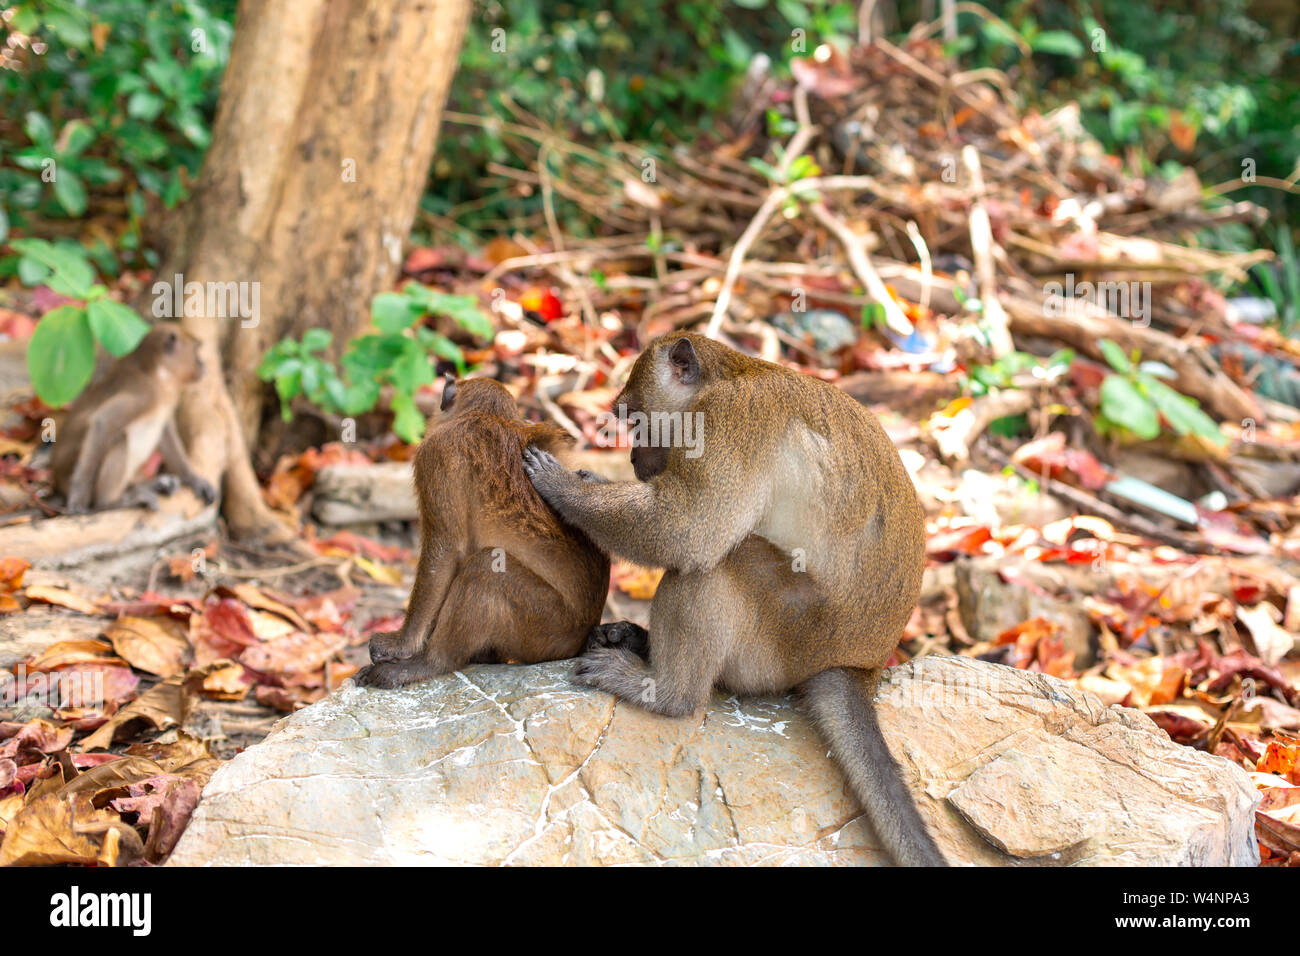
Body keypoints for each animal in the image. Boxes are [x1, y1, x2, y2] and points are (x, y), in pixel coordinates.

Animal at [50, 321, 217, 513]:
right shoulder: (145, 394)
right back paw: (110, 503)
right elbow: (103, 423)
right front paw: (79, 501)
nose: (203, 365)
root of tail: (56, 475)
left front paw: (192, 478)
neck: (158, 374)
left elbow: (164, 431)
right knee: (120, 439)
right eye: (196, 352)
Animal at [355, 377, 610, 688]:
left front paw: (401, 645)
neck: (489, 416)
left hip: (549, 627)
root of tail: (581, 637)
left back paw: (431, 663)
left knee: (486, 567)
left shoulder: (437, 452)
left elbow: (445, 549)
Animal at [521, 331, 945, 866]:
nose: (634, 461)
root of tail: (861, 665)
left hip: (788, 637)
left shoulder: (729, 424)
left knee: (718, 564)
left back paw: (667, 693)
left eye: (635, 419)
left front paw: (562, 488)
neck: (731, 376)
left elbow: (685, 530)